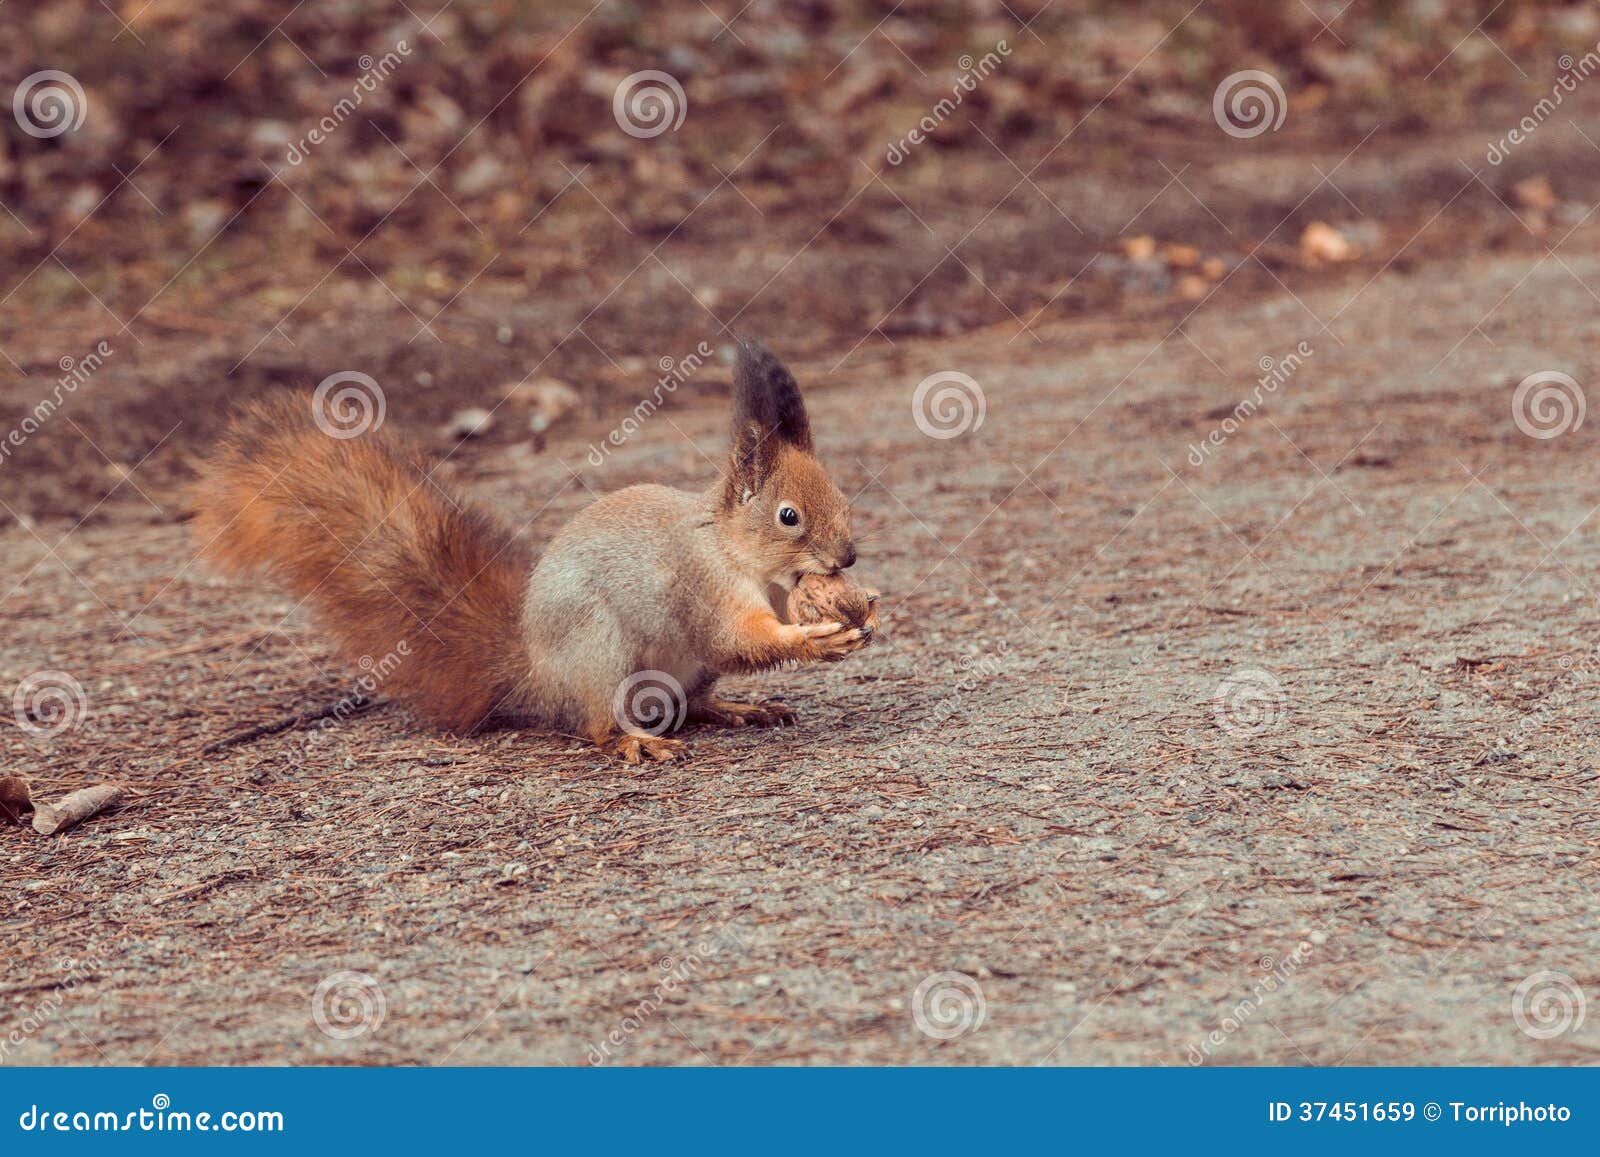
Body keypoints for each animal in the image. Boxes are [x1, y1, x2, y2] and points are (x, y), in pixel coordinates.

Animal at [191, 340, 869, 762]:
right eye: (789, 516)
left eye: (842, 495)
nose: (847, 559)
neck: (735, 552)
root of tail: (539, 675)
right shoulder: (700, 586)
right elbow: (736, 638)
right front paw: (817, 638)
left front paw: (861, 613)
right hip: (598, 649)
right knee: (597, 724)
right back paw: (634, 740)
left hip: (681, 671)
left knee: (692, 703)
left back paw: (733, 707)